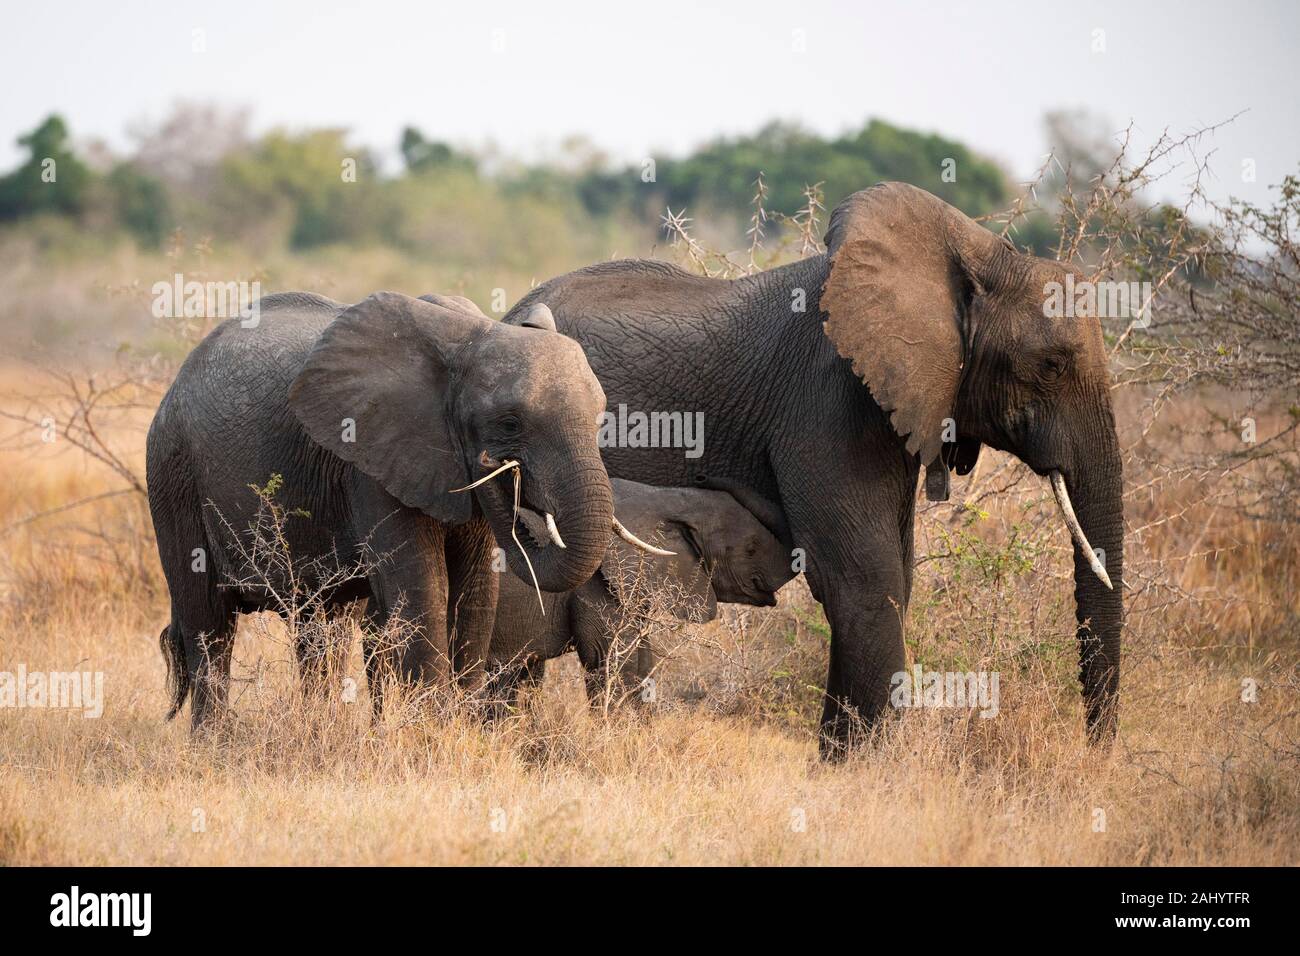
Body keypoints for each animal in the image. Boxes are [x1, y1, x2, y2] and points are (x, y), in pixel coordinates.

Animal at [146, 289, 666, 730]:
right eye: (510, 423)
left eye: (599, 416)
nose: (498, 467)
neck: (470, 337)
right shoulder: (369, 460)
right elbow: (422, 590)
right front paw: (432, 734)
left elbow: (475, 590)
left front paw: (460, 729)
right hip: (173, 470)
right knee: (208, 623)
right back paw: (214, 743)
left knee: (322, 626)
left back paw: (320, 728)